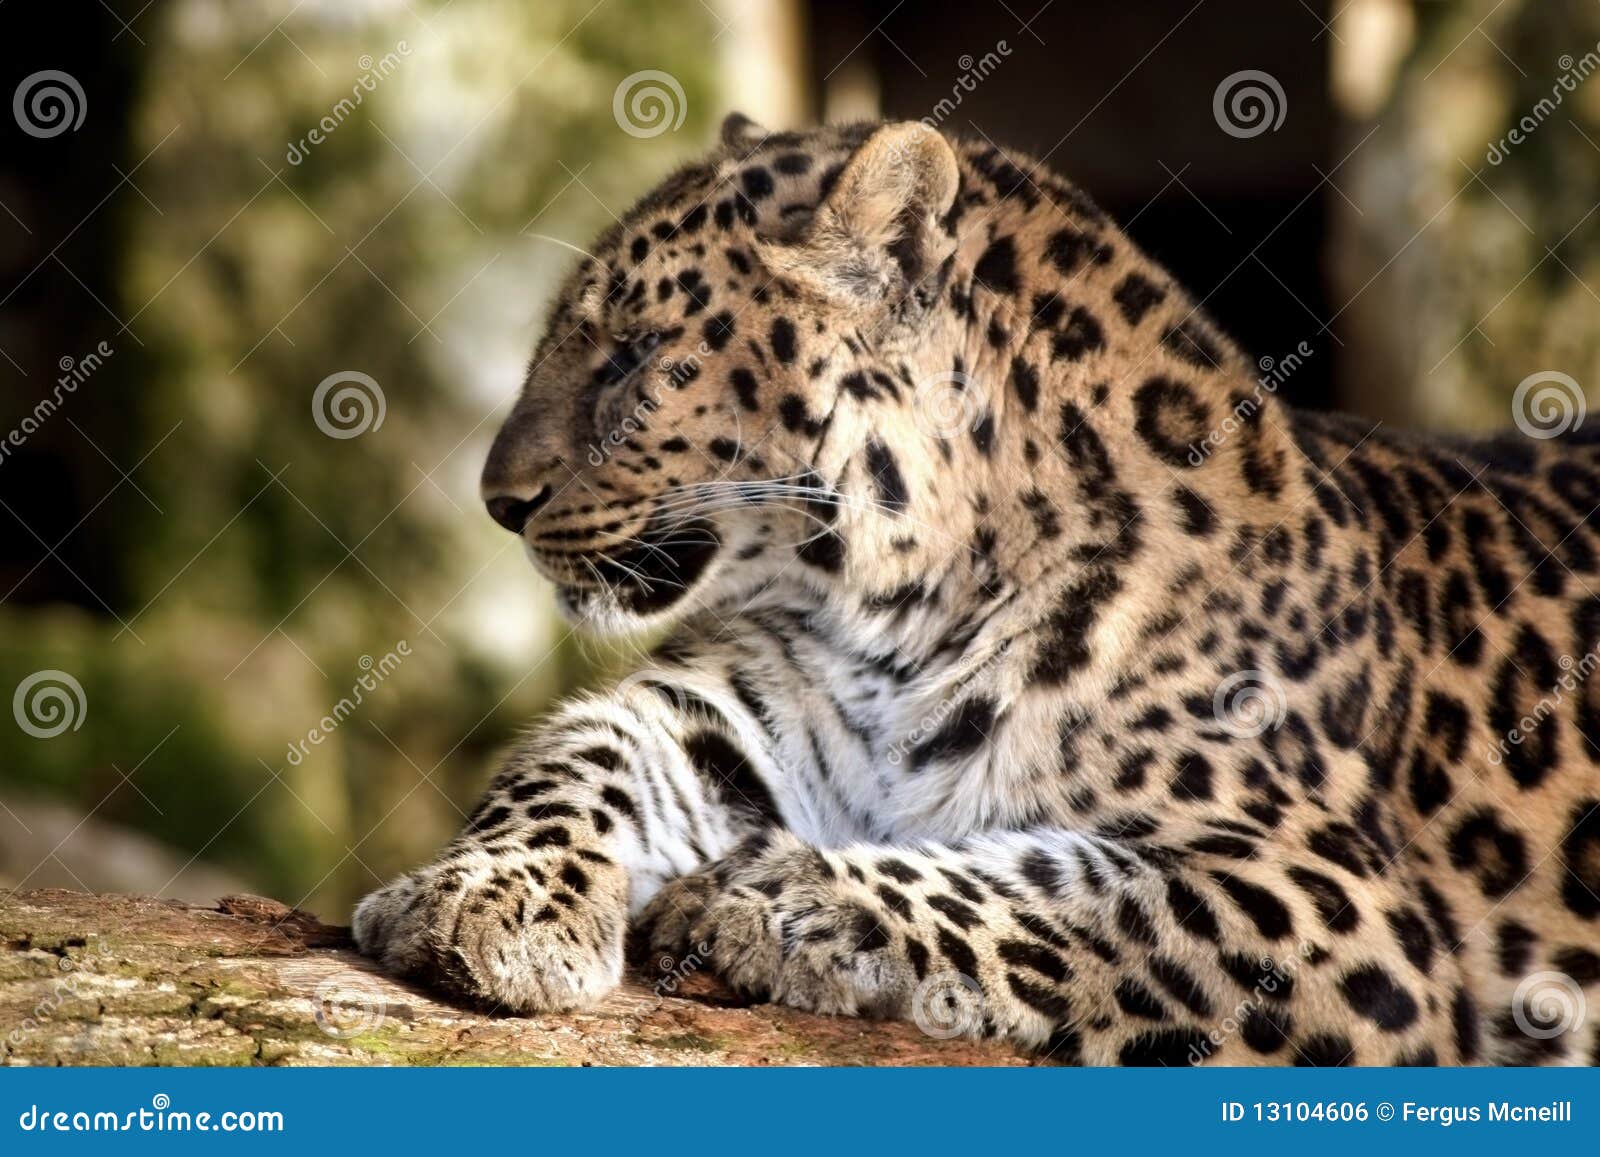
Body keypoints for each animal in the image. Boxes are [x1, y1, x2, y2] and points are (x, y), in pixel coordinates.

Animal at [354, 113, 1600, 1065]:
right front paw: (485, 893)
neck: (903, 610)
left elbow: (1064, 889)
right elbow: (587, 750)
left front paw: (777, 899)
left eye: (637, 354)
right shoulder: (734, 704)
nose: (498, 499)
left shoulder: (1334, 903)